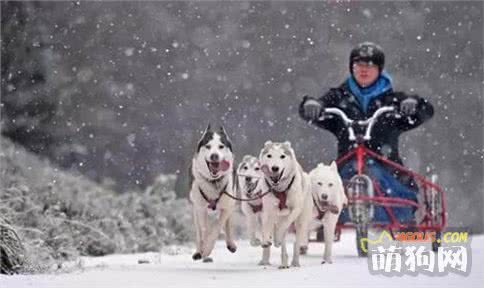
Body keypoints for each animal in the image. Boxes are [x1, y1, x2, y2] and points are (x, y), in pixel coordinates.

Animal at [189, 125, 236, 262]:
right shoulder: (199, 207)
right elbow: (203, 229)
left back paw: (231, 244)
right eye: (208, 146)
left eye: (221, 146)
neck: (214, 182)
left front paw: (208, 248)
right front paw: (203, 249)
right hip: (195, 206)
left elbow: (218, 226)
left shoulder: (227, 205)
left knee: (227, 224)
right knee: (199, 230)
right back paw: (198, 251)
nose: (214, 155)